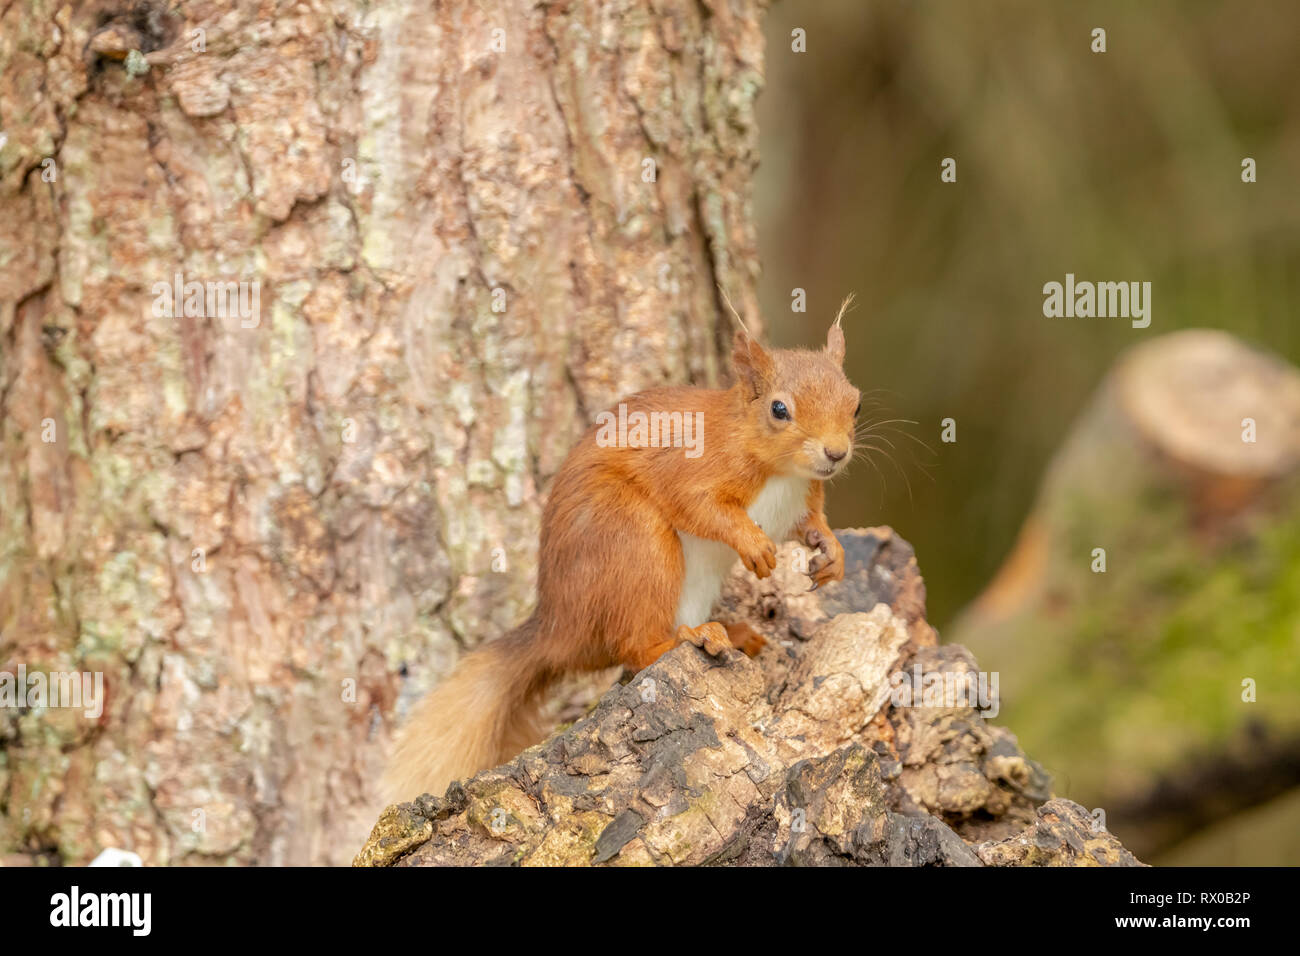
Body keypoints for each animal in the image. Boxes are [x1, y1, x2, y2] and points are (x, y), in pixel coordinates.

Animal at [382, 308, 861, 805]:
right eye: (779, 409)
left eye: (856, 404)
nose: (836, 453)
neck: (779, 470)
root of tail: (558, 628)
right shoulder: (689, 467)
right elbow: (701, 507)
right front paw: (753, 543)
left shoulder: (799, 501)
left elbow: (809, 526)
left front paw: (832, 553)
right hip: (636, 540)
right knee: (634, 649)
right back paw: (689, 639)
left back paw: (729, 632)